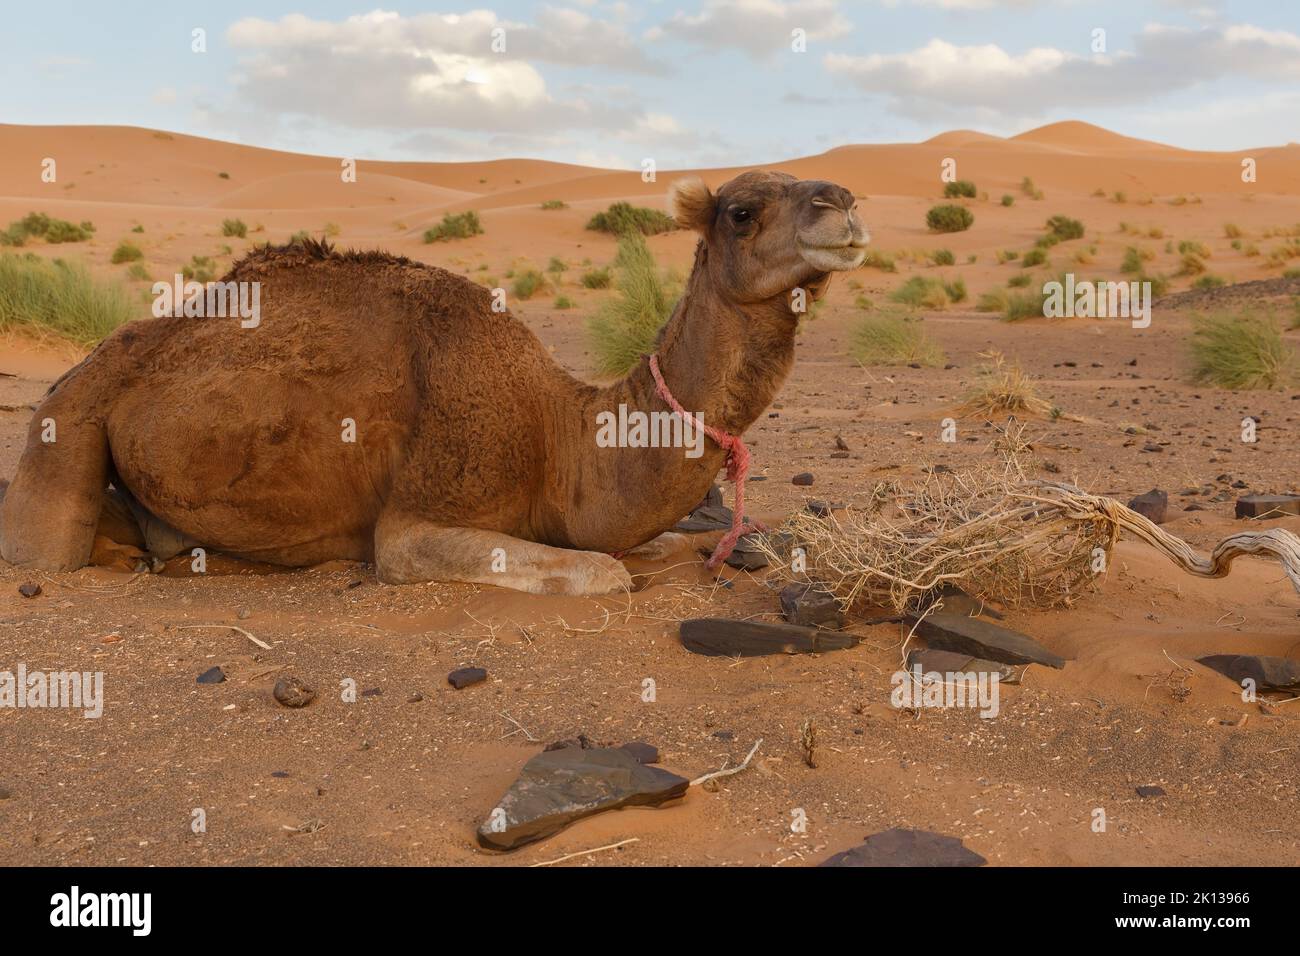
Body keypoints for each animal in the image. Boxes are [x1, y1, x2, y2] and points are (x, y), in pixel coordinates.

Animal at [0, 170, 869, 595]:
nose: (845, 205)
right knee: (47, 550)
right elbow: (608, 571)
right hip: (66, 417)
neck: (558, 432)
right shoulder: (419, 518)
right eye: (743, 211)